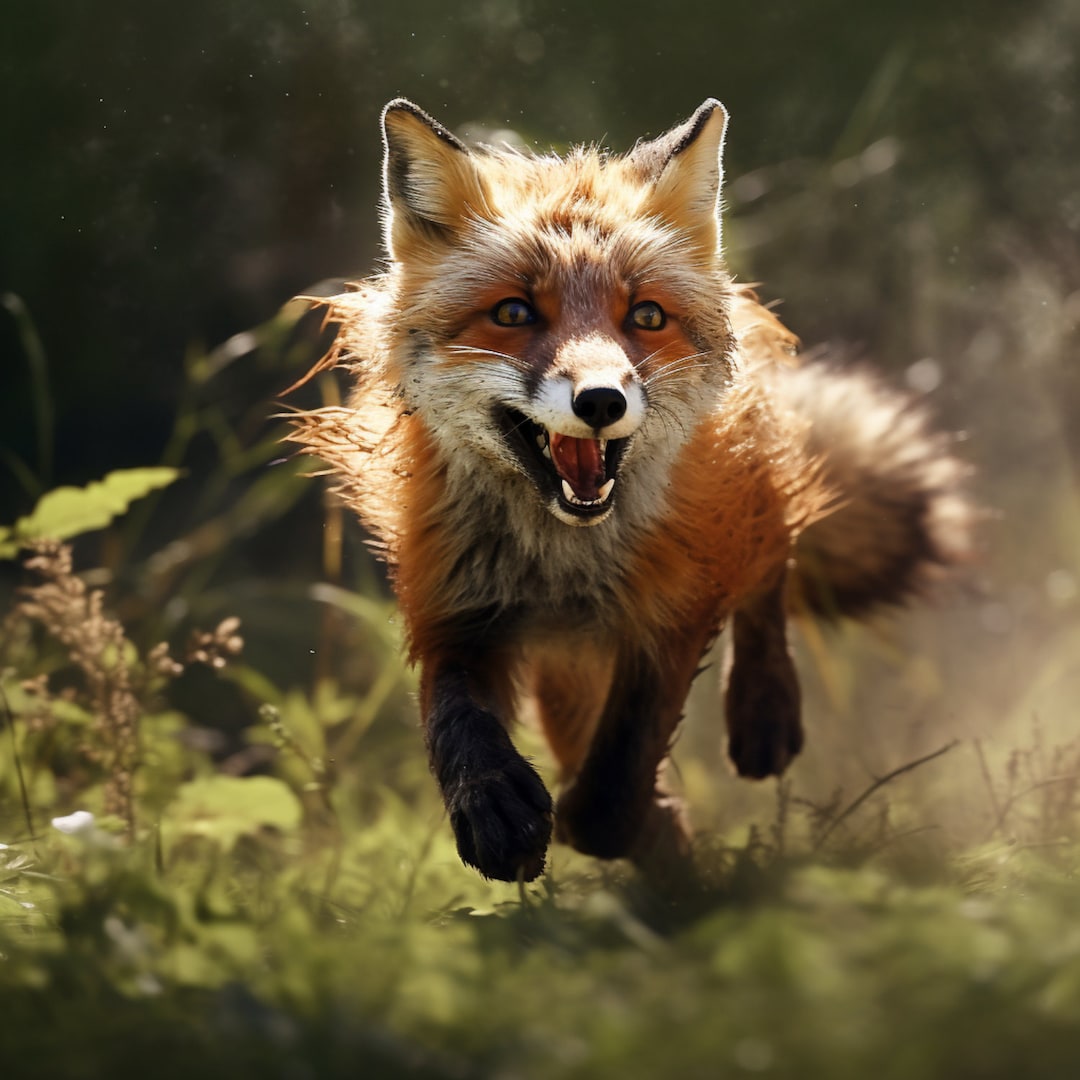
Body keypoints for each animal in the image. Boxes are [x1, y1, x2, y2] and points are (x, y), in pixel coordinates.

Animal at [292, 99, 972, 884]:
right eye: (514, 313)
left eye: (645, 316)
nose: (600, 401)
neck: (565, 563)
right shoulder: (455, 607)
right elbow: (454, 722)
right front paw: (495, 810)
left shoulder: (674, 607)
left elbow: (614, 779)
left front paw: (641, 829)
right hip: (567, 664)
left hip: (736, 490)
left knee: (772, 550)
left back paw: (763, 709)